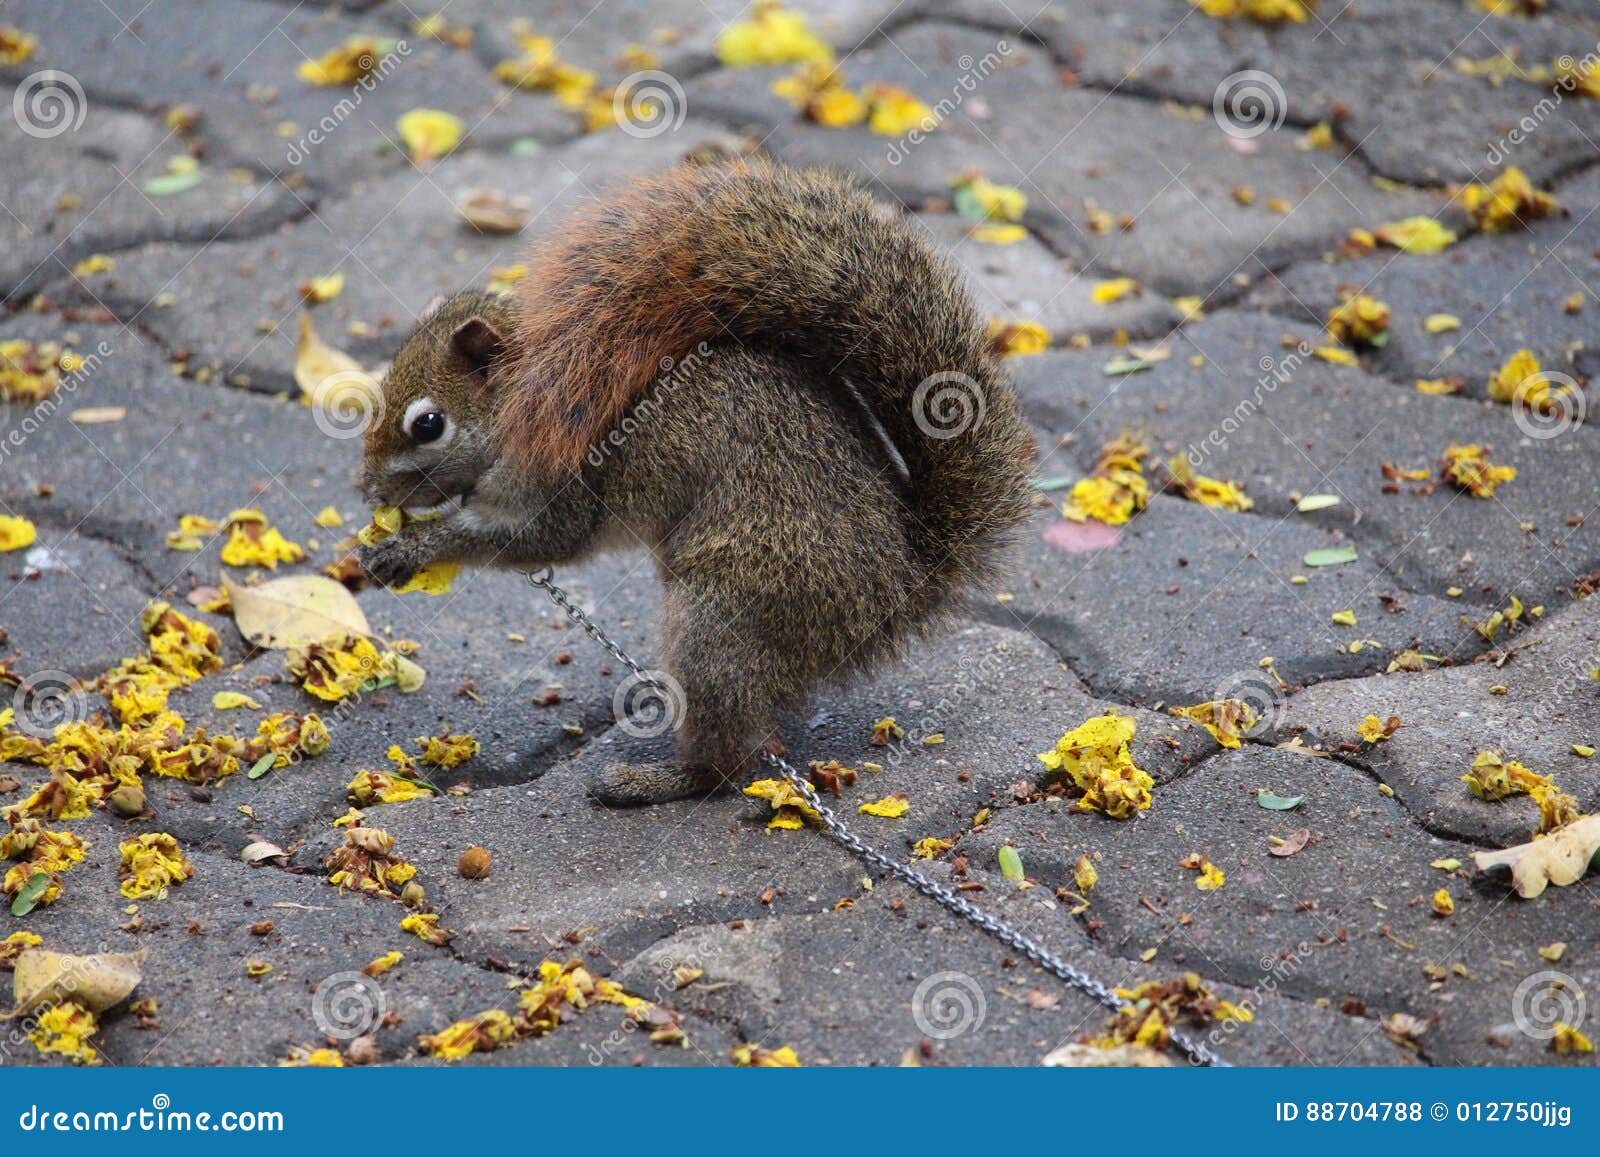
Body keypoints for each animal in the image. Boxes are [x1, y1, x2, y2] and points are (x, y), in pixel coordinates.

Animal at [358, 156, 1035, 806]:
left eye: (427, 424)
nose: (369, 492)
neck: (525, 398)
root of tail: (895, 593)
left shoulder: (570, 476)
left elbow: (539, 538)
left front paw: (410, 547)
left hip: (723, 616)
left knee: (729, 760)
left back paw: (651, 782)